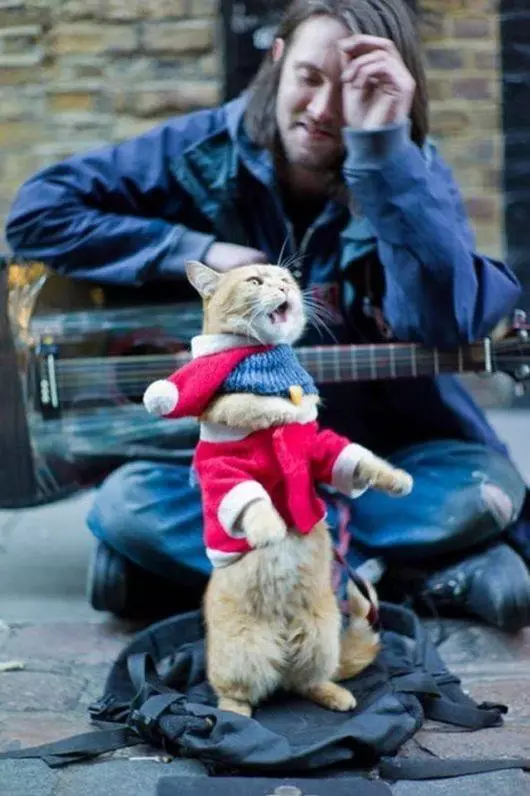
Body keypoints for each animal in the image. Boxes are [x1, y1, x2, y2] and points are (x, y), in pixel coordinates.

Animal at [144, 262, 412, 720]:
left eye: (285, 277)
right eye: (255, 281)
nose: (285, 287)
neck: (266, 370)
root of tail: (283, 647)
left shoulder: (317, 447)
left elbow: (357, 460)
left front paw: (396, 480)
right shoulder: (225, 471)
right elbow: (252, 501)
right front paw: (269, 528)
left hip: (322, 638)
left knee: (308, 681)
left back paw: (335, 695)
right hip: (241, 653)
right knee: (237, 692)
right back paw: (233, 717)